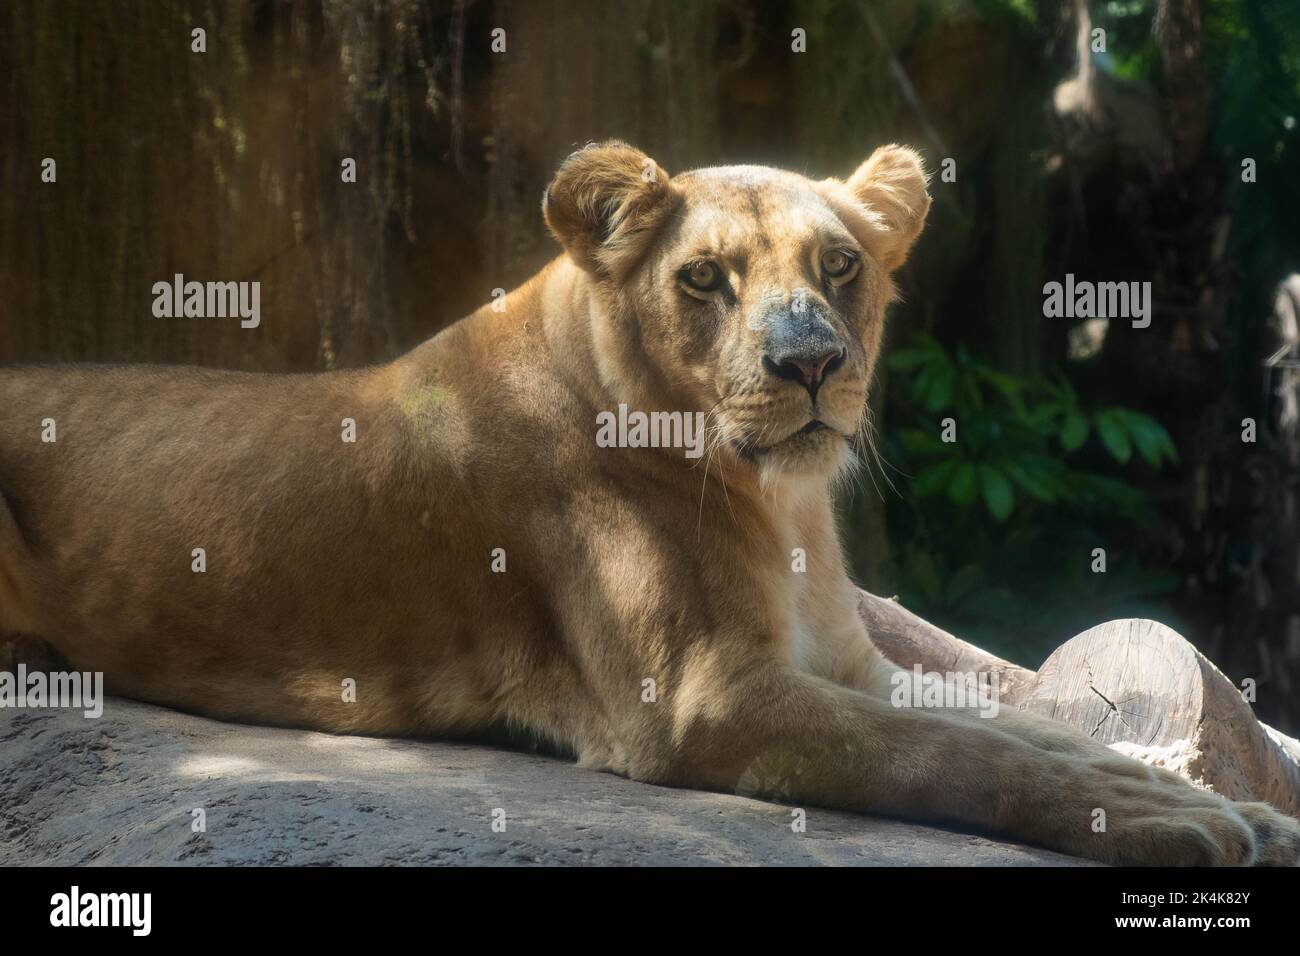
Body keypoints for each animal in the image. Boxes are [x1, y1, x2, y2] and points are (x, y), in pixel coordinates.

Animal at [2, 141, 1298, 866]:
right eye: (704, 278)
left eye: (839, 266)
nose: (809, 364)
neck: (784, 510)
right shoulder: (697, 700)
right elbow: (948, 749)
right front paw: (1145, 813)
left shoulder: (851, 665)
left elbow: (1019, 724)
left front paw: (1242, 808)